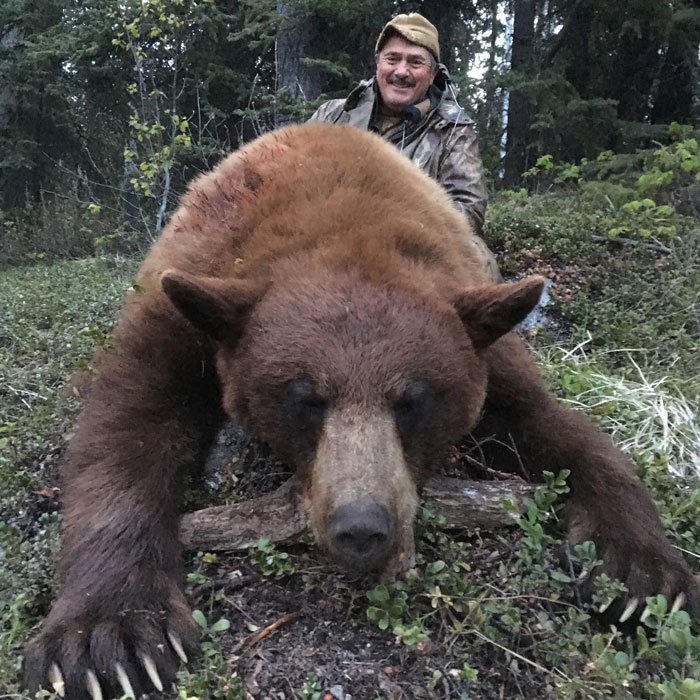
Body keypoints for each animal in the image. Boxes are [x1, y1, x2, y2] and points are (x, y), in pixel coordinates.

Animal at [24, 123, 699, 699]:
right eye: (305, 399)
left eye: (412, 402)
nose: (362, 527)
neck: (339, 220)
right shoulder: (188, 299)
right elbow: (128, 423)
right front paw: (109, 639)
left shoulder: (477, 325)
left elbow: (557, 428)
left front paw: (642, 574)